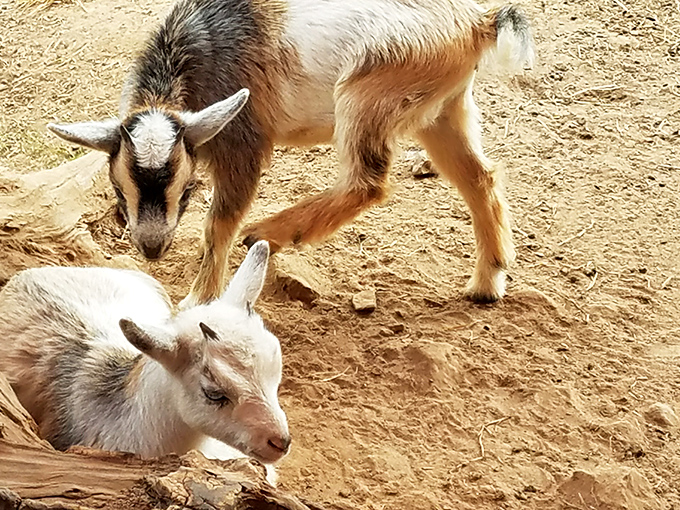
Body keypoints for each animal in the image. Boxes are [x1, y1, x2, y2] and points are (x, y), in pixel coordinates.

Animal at [47, 0, 534, 306]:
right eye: (118, 188)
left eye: (186, 189)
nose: (151, 248)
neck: (197, 52)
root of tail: (478, 21)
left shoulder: (242, 141)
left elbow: (219, 224)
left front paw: (197, 299)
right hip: (442, 109)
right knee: (480, 177)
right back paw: (487, 281)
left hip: (366, 92)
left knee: (368, 182)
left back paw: (270, 232)